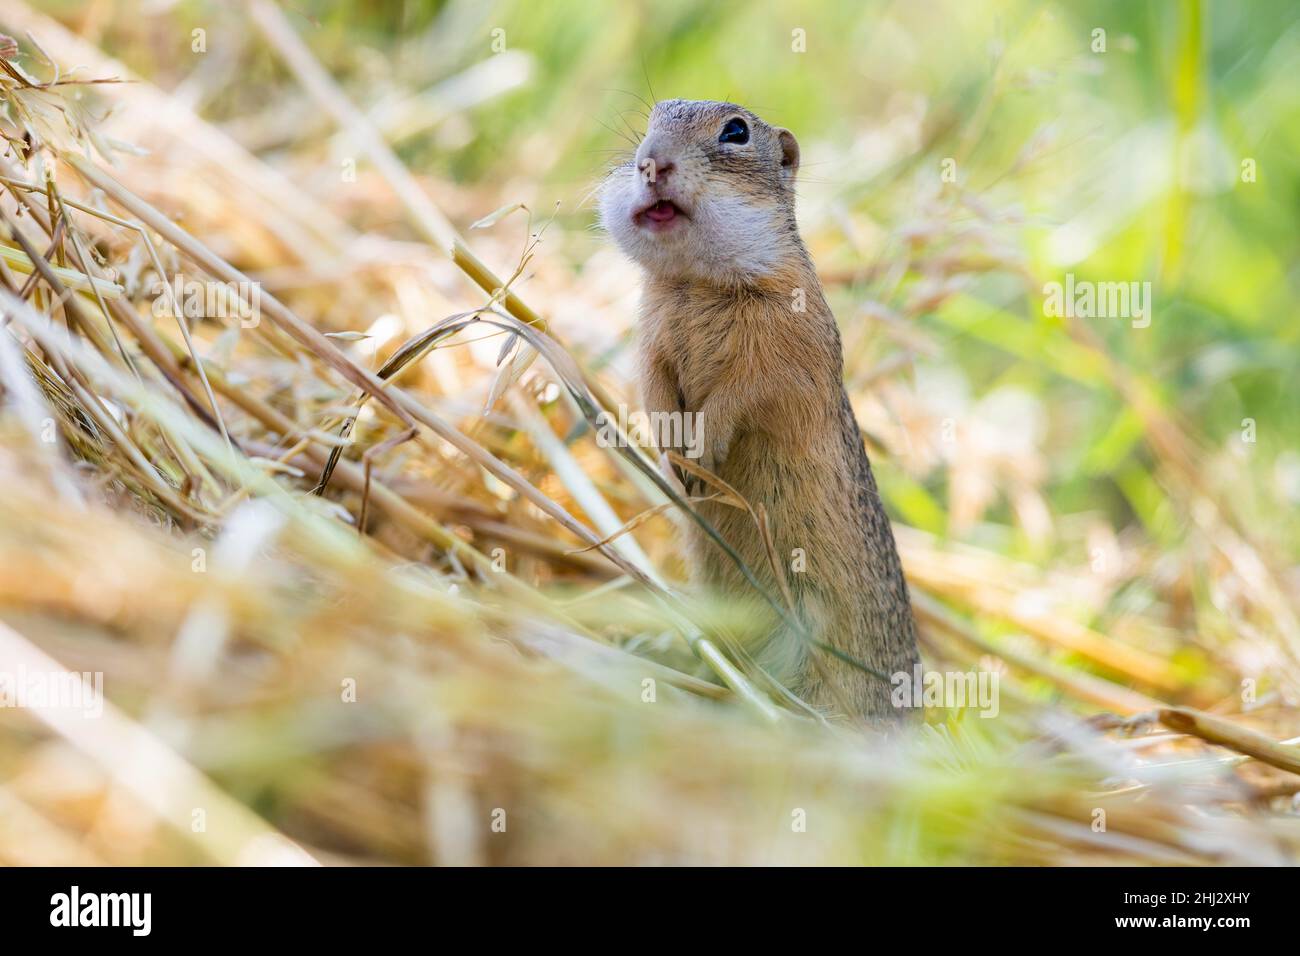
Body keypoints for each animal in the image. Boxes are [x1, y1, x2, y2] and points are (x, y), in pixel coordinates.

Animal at [599, 98, 920, 720]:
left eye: (736, 132)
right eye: (651, 120)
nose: (650, 163)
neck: (695, 281)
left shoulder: (780, 350)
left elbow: (740, 396)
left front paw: (700, 455)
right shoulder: (650, 338)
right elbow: (653, 386)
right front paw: (672, 456)